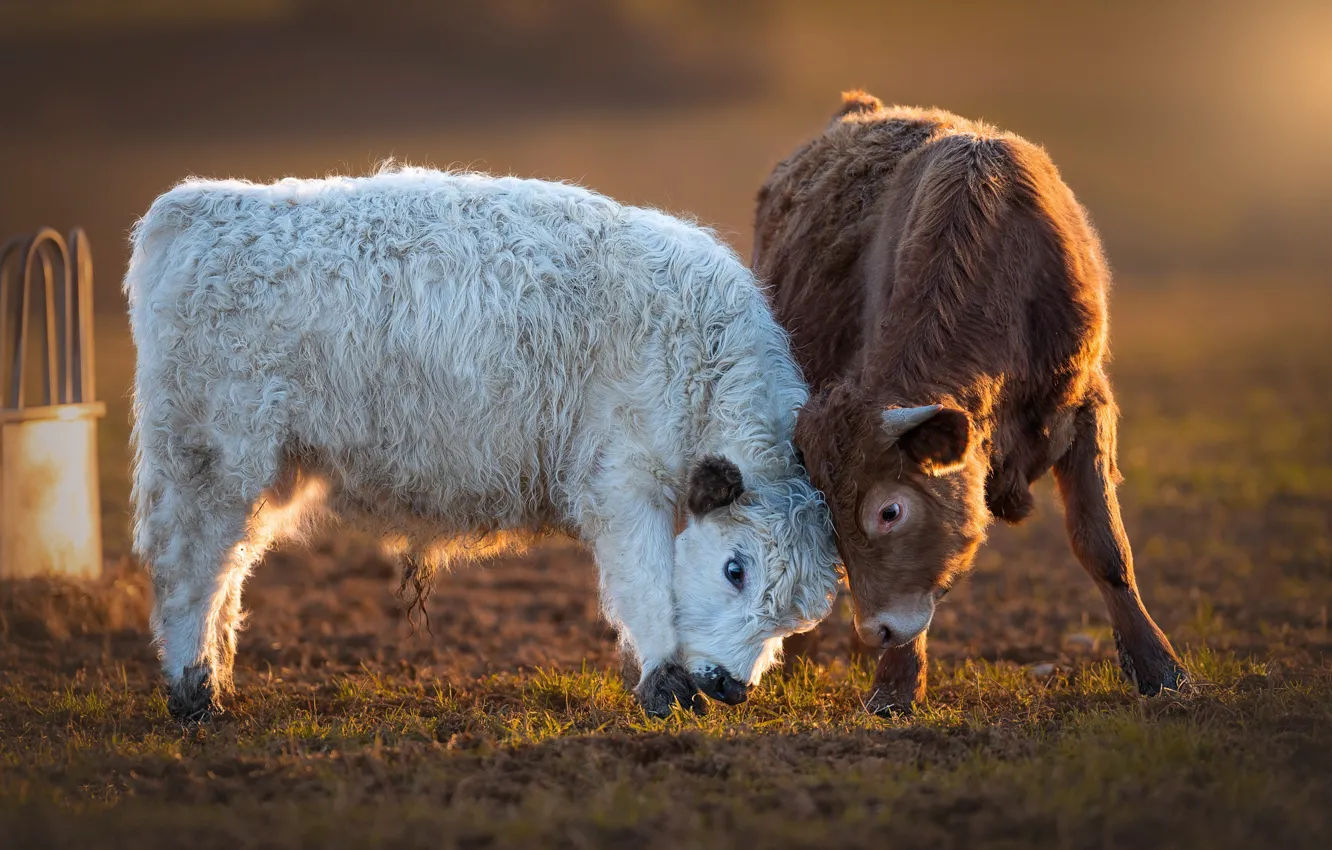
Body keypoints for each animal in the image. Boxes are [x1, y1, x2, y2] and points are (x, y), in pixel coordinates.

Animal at [125, 167, 842, 722]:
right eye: (735, 569)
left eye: (798, 620)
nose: (732, 687)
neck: (698, 354)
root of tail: (201, 206)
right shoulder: (623, 485)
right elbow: (645, 583)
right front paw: (664, 683)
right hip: (212, 457)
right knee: (190, 568)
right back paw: (196, 693)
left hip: (265, 473)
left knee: (230, 569)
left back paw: (217, 678)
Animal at [753, 92, 1186, 713]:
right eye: (830, 513)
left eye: (890, 511)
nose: (876, 630)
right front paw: (894, 685)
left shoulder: (1086, 407)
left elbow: (1104, 547)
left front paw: (1160, 670)